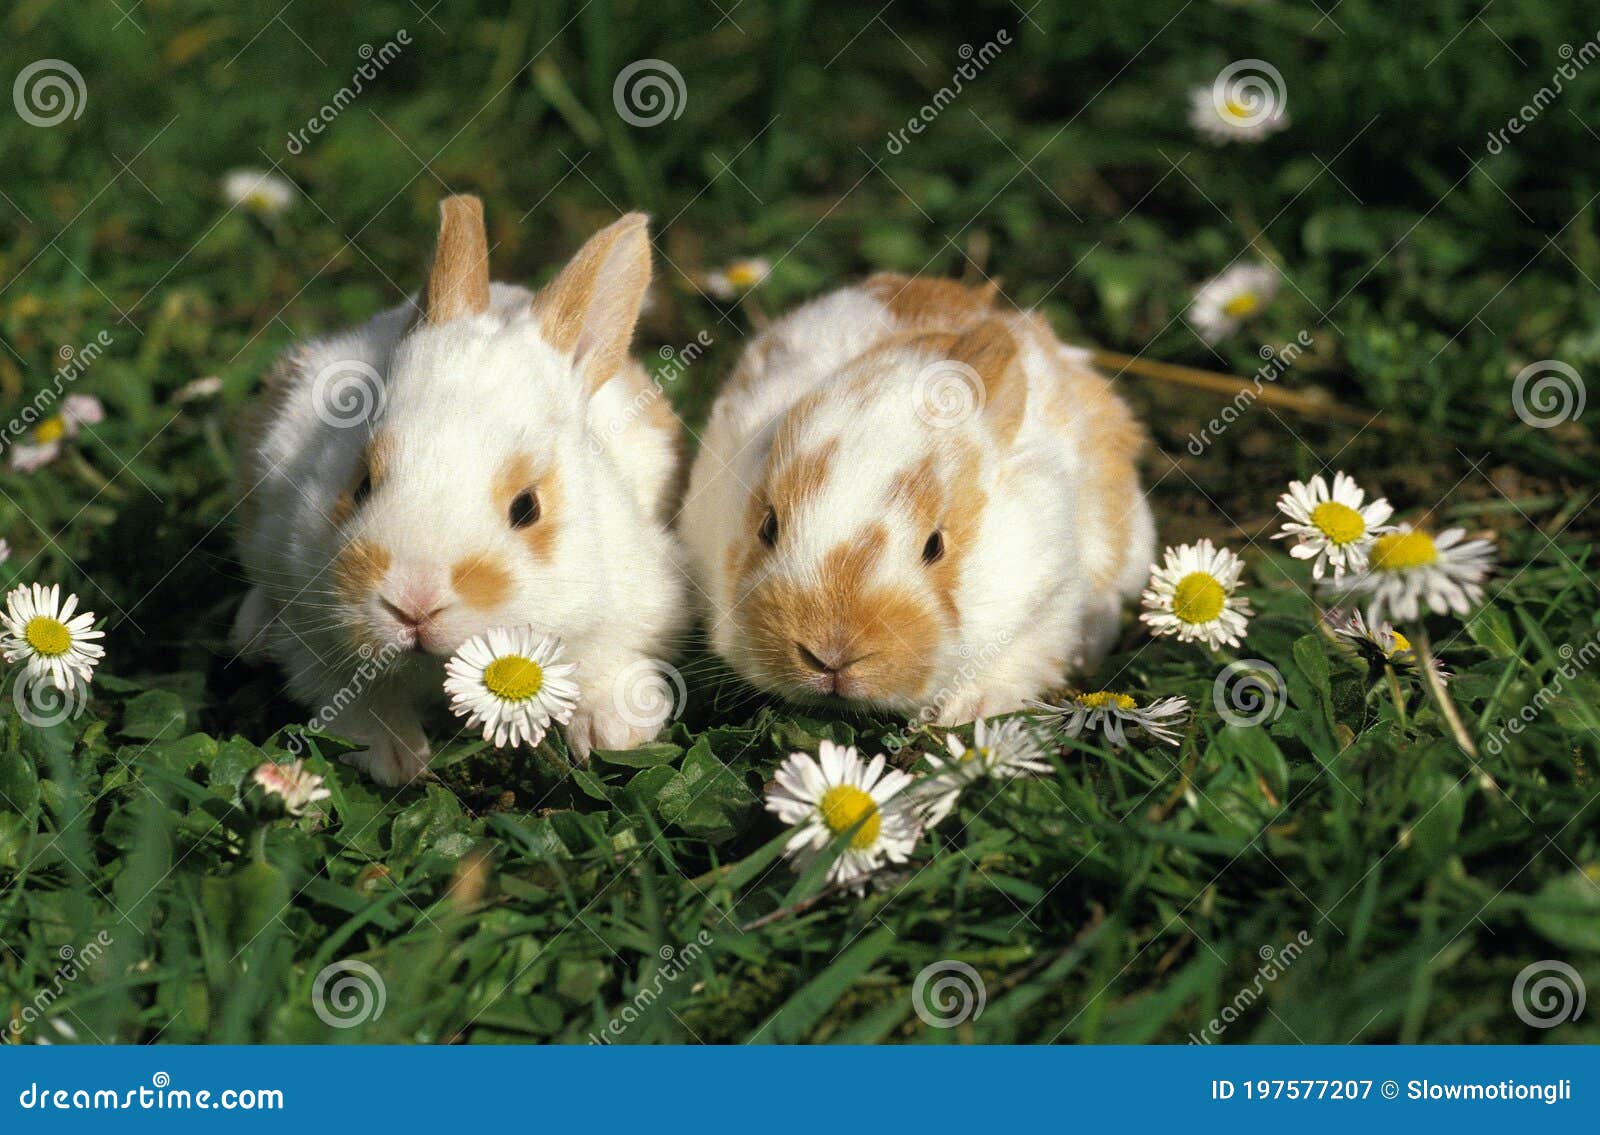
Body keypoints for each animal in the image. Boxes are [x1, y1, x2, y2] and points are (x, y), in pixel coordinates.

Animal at [231, 195, 687, 784]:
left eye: (527, 508)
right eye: (362, 484)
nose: (413, 603)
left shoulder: (645, 600)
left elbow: (610, 659)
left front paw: (617, 731)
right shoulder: (310, 629)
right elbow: (356, 702)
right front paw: (396, 759)